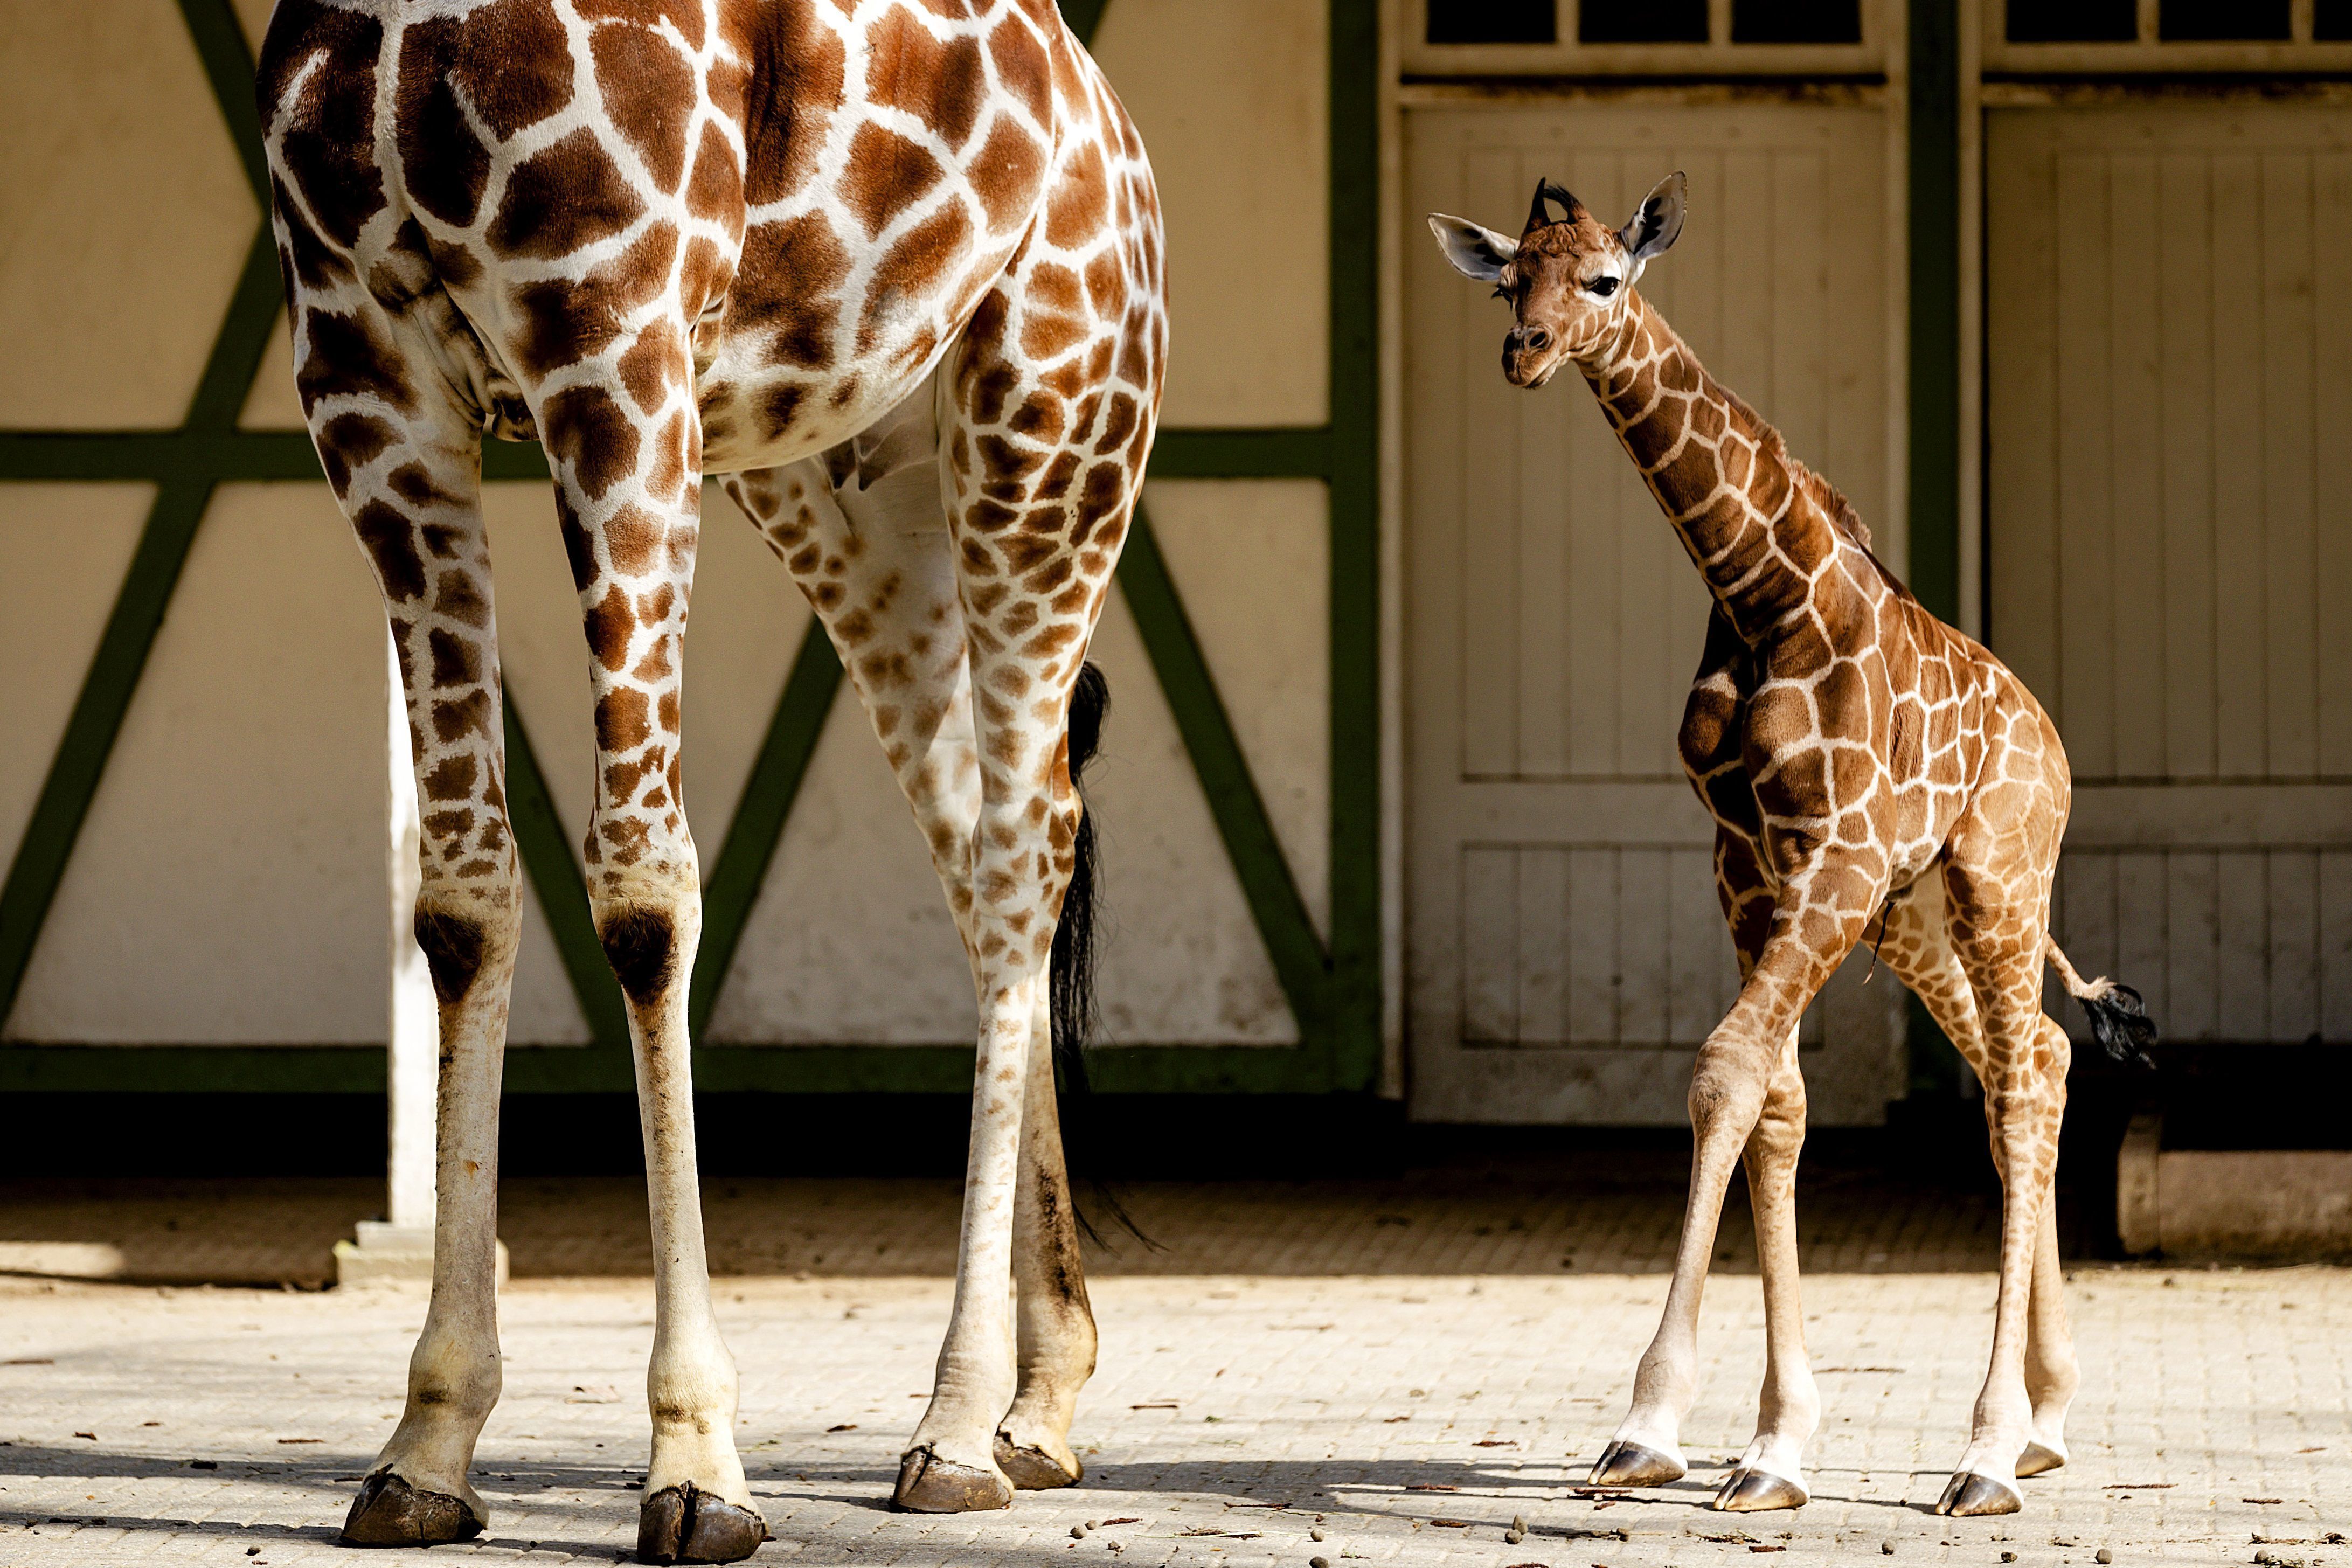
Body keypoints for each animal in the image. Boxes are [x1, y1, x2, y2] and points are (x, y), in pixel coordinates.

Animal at [258, 0, 1162, 1555]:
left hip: (1053, 433)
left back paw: (952, 1425)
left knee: (1026, 856)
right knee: (985, 844)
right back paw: (1036, 1402)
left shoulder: (614, 352)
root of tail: (1111, 127)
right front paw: (426, 1440)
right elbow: (459, 900)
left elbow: (642, 896)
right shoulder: (368, 381)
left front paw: (695, 1459)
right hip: (845, 484)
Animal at [1427, 175, 2157, 1519]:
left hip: (1994, 878)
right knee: (2025, 1056)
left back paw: (1986, 1451)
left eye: (1603, 279)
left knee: (2027, 1078)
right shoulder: (1746, 863)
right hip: (1918, 918)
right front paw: (1765, 1442)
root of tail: (2051, 749)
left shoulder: (1839, 854)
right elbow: (1774, 1098)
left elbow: (1725, 1070)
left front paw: (1649, 1422)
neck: (1760, 595)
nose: (1526, 352)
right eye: (1509, 282)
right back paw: (2044, 1416)